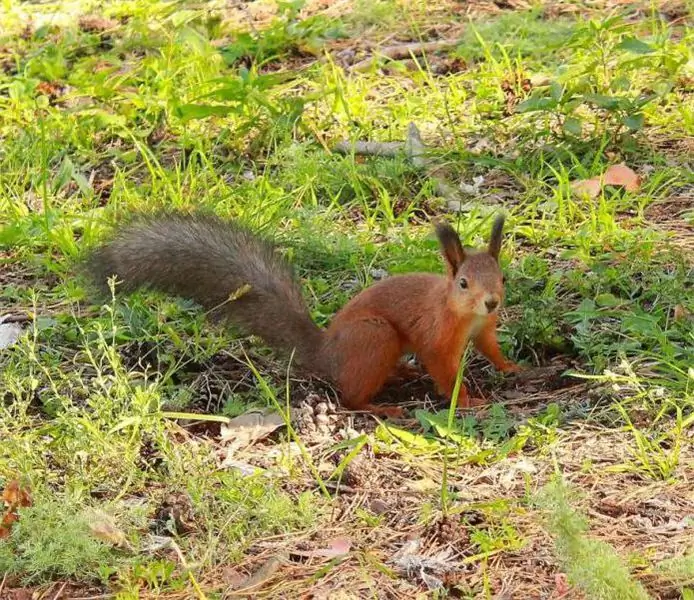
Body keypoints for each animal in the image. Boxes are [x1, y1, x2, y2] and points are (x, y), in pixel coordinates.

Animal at [87, 214, 520, 418]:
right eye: (463, 283)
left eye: (502, 277)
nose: (491, 302)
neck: (464, 315)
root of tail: (325, 352)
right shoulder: (435, 336)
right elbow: (443, 370)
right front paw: (465, 399)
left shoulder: (484, 330)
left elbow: (491, 349)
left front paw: (511, 368)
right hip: (375, 336)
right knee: (349, 397)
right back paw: (380, 406)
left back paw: (400, 374)